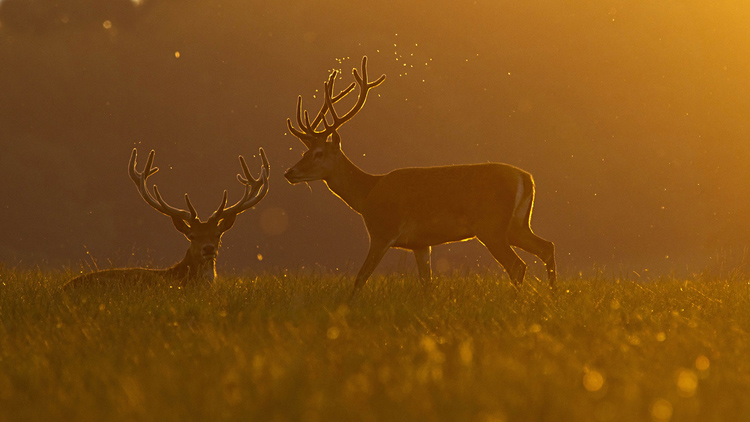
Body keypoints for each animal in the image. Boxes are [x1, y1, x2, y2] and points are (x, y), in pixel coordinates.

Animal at [284, 56, 556, 300]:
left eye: (319, 153)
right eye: (304, 152)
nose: (289, 172)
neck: (368, 193)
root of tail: (525, 178)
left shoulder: (383, 231)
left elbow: (361, 278)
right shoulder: (420, 244)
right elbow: (427, 283)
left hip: (491, 225)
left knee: (517, 265)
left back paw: (517, 302)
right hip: (517, 224)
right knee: (546, 247)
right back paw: (551, 299)